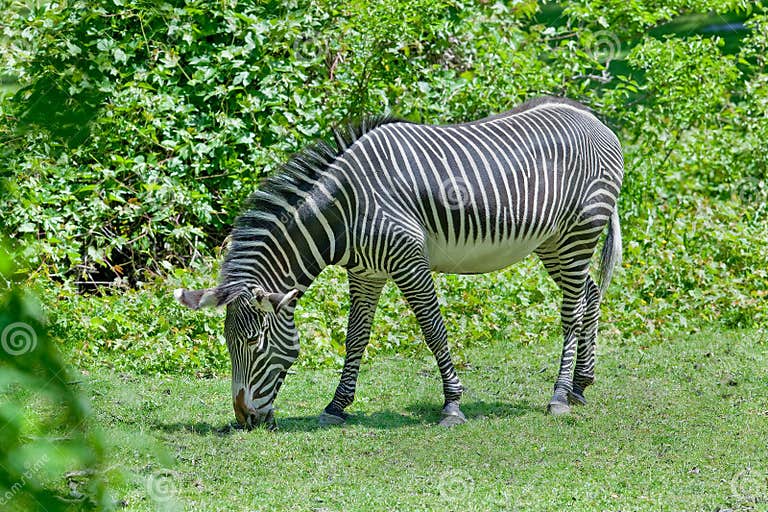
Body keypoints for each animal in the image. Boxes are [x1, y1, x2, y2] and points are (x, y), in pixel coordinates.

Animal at [175, 96, 623, 429]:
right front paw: (336, 406)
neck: (346, 209)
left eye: (253, 342)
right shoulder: (365, 272)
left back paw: (559, 396)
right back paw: (581, 385)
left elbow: (433, 330)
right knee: (591, 294)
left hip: (580, 230)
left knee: (573, 310)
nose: (244, 420)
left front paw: (452, 405)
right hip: (553, 241)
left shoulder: (409, 262)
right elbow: (356, 336)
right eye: (228, 343)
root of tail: (592, 117)